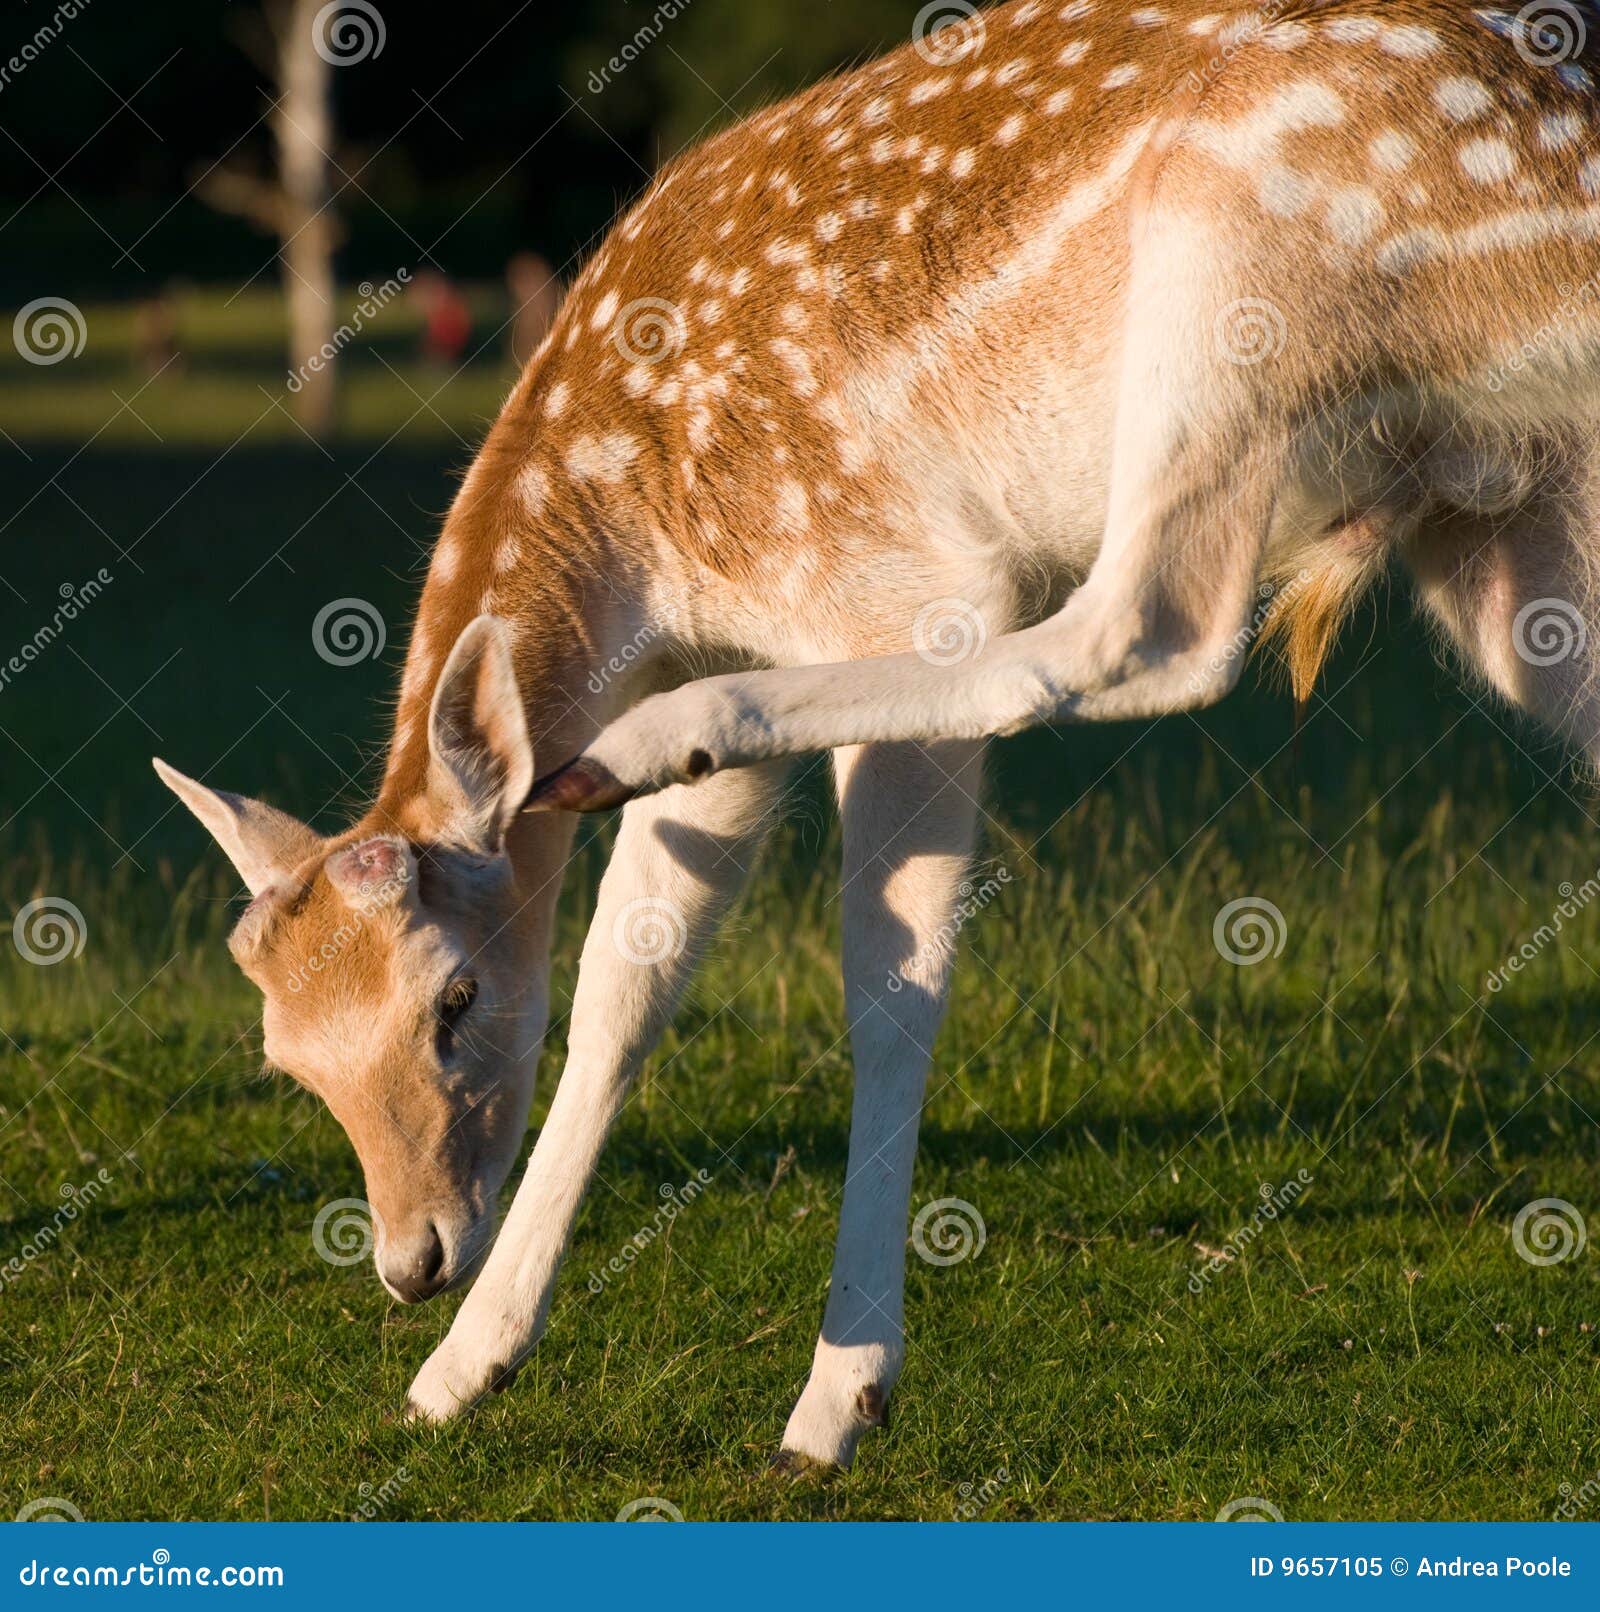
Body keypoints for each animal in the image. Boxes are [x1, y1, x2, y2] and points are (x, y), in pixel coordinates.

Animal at [156, 0, 1600, 1468]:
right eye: (284, 1057)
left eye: (451, 998)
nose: (413, 1260)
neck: (644, 554)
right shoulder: (735, 645)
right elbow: (626, 979)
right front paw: (463, 1367)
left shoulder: (875, 579)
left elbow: (890, 984)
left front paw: (839, 1397)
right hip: (1510, 537)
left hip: (1232, 269)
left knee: (1150, 625)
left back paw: (667, 733)